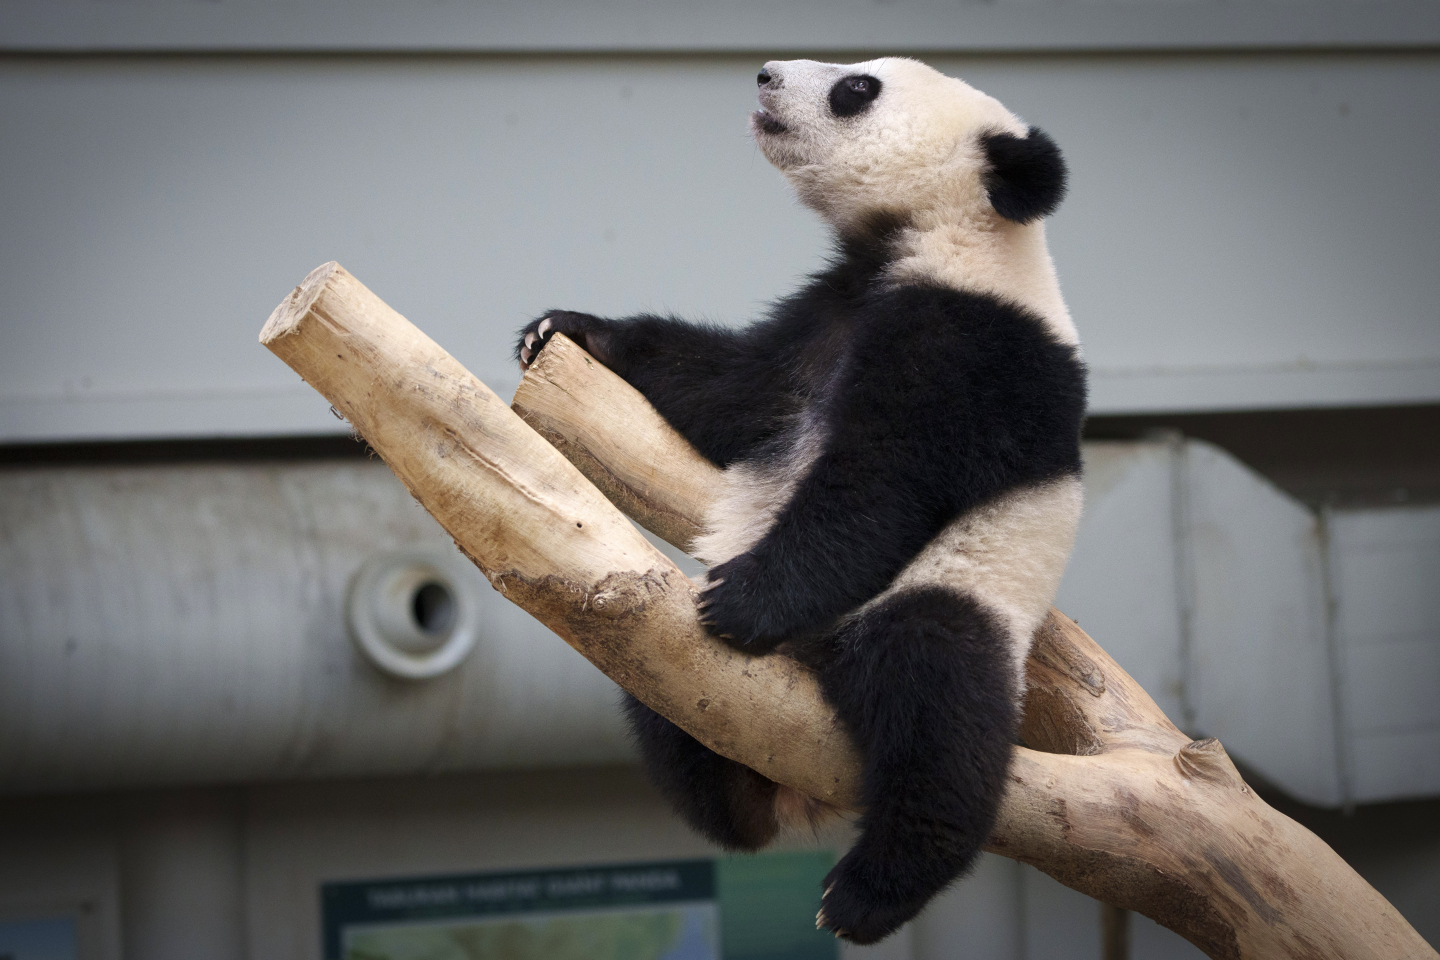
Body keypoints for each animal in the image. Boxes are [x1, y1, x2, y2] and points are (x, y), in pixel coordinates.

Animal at [516, 57, 1085, 944]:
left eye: (857, 90)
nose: (766, 73)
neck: (941, 236)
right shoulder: (823, 317)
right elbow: (733, 389)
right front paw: (568, 328)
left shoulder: (974, 348)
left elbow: (877, 485)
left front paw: (742, 601)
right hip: (673, 676)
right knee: (656, 689)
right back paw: (723, 790)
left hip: (963, 590)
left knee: (936, 696)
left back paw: (868, 891)